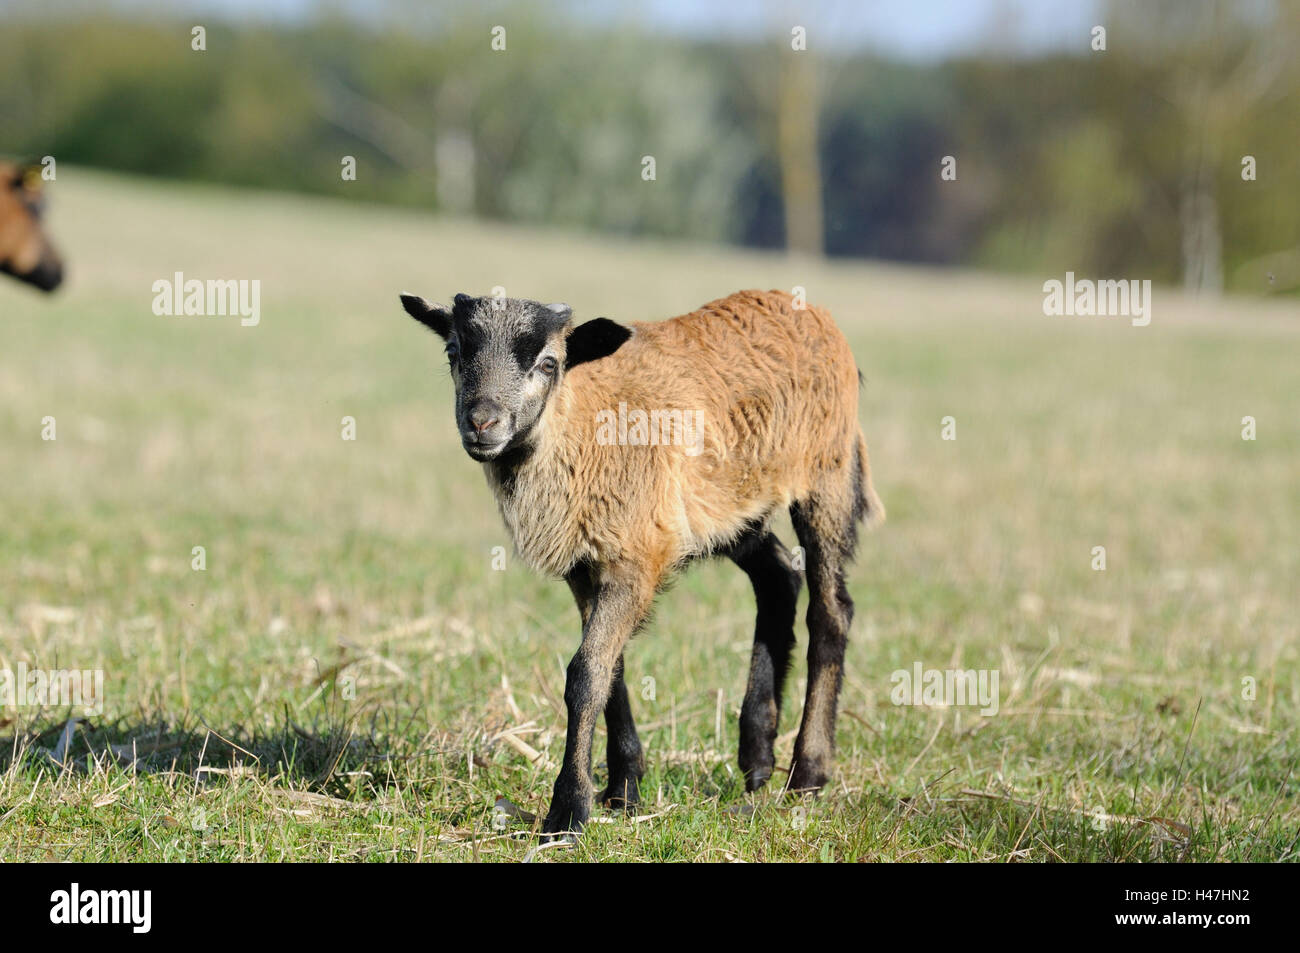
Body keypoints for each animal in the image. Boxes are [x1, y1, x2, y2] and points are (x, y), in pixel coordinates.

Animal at [398, 288, 883, 839]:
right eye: (453, 352)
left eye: (549, 363)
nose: (482, 423)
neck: (578, 426)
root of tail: (806, 307)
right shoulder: (588, 565)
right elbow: (611, 669)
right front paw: (624, 787)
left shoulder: (634, 560)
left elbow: (586, 673)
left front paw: (568, 811)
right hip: (730, 504)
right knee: (779, 577)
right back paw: (757, 756)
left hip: (827, 474)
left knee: (831, 610)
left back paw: (807, 775)